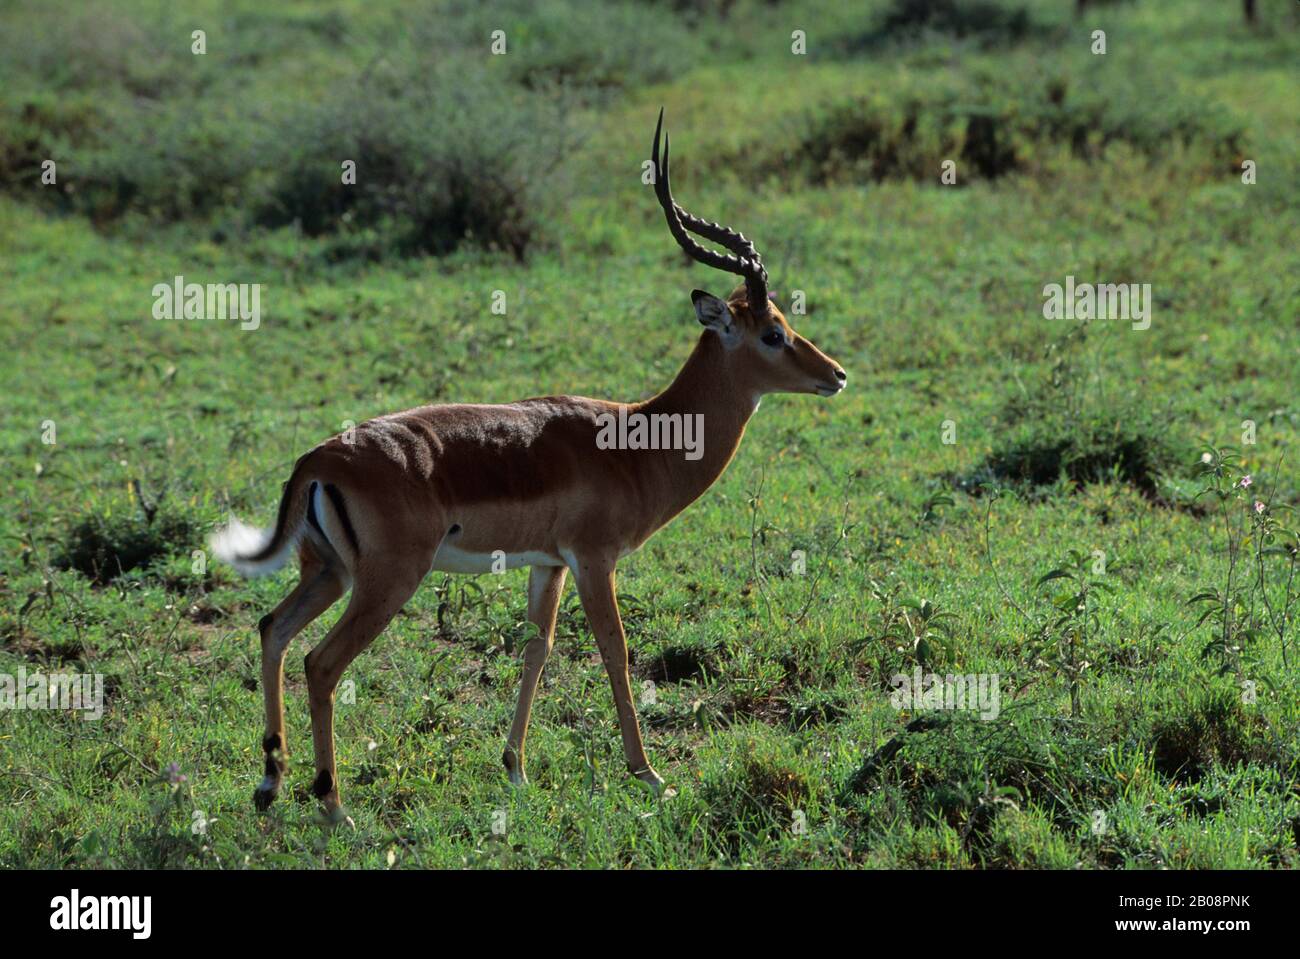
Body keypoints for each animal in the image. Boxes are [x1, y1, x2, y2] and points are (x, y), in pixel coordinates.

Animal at [211, 110, 847, 821]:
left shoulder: (550, 564)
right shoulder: (594, 559)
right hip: (385, 580)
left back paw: (270, 784)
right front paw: (649, 774)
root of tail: (317, 460)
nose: (836, 375)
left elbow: (534, 650)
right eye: (773, 332)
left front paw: (514, 769)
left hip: (328, 572)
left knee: (272, 630)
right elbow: (615, 650)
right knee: (320, 664)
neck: (640, 438)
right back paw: (335, 809)